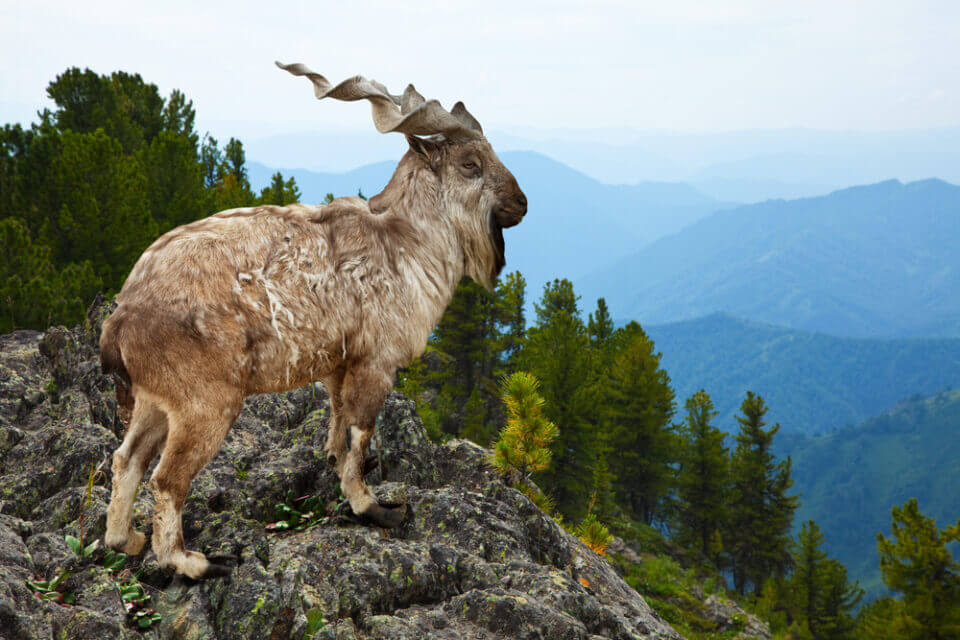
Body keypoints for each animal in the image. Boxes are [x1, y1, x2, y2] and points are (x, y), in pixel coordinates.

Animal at [99, 62, 527, 579]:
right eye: (470, 164)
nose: (522, 203)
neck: (403, 244)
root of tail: (123, 316)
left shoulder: (337, 366)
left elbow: (339, 426)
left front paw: (337, 469)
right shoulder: (375, 363)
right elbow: (361, 432)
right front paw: (374, 507)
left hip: (155, 401)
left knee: (126, 459)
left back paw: (126, 539)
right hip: (204, 403)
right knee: (167, 479)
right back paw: (194, 562)